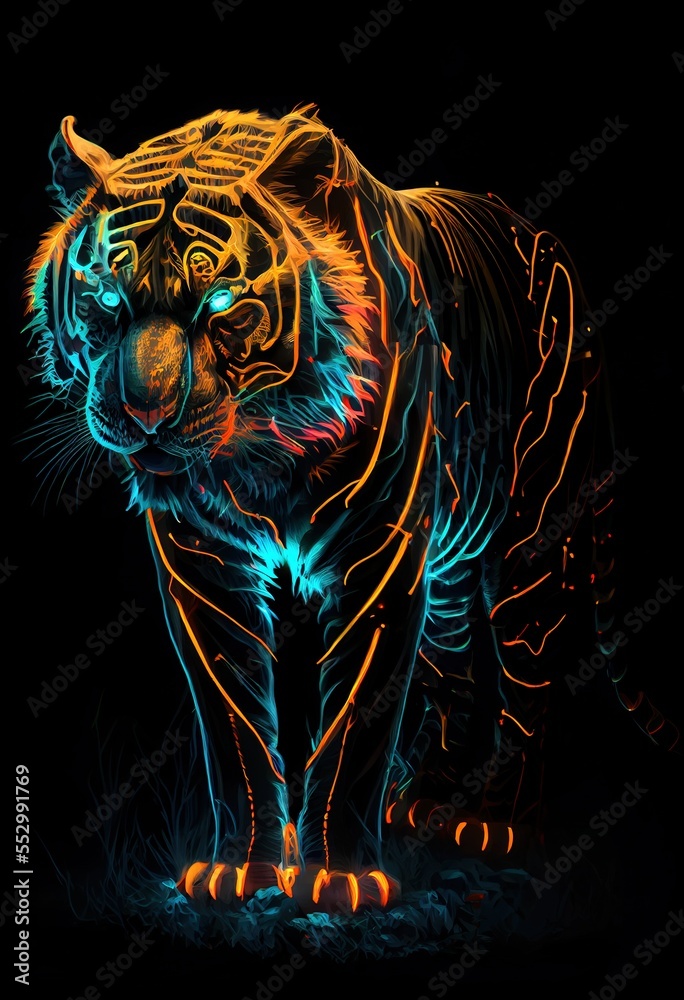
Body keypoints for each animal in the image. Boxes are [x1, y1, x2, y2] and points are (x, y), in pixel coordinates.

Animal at [24, 104, 611, 914]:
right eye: (108, 302)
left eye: (221, 305)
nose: (144, 414)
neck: (259, 461)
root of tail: (541, 234)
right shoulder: (205, 564)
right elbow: (234, 721)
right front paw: (237, 868)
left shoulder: (378, 556)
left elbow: (358, 716)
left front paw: (341, 878)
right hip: (450, 567)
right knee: (455, 668)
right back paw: (424, 800)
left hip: (531, 547)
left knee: (529, 686)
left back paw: (499, 824)